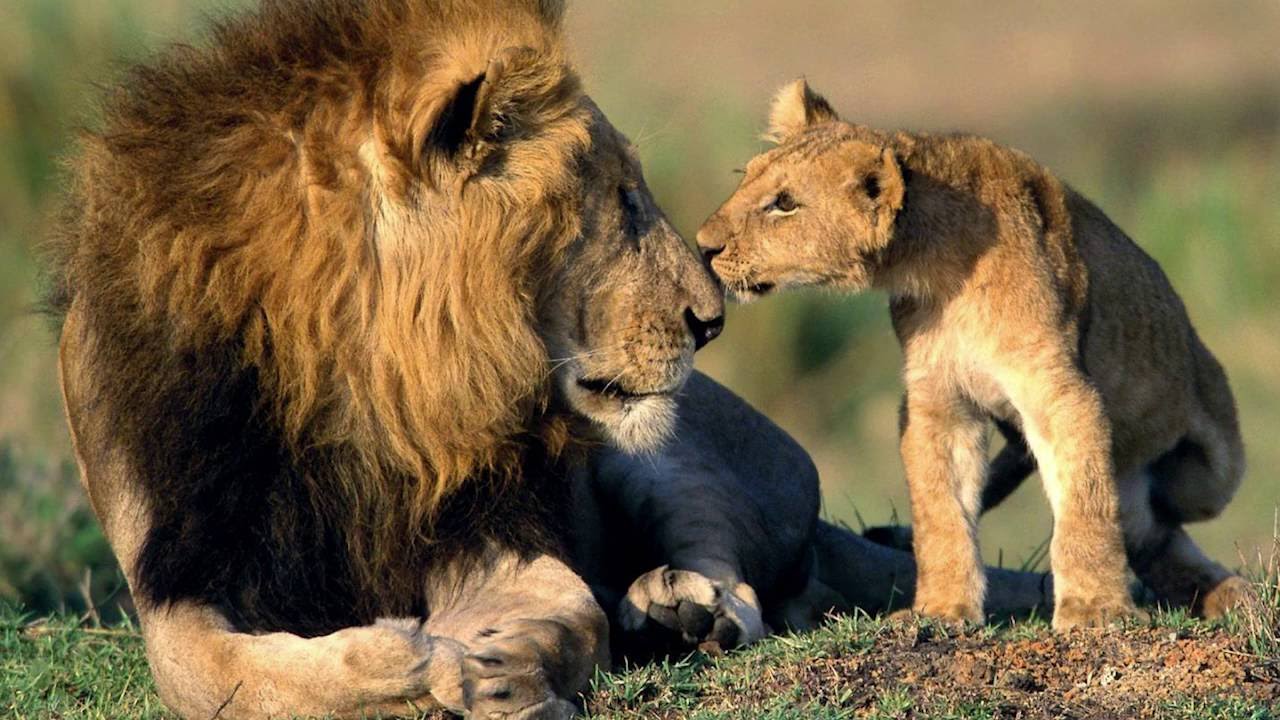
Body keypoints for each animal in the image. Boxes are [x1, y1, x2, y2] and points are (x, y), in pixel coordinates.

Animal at [696, 79, 1251, 631]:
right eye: (746, 180)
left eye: (784, 204)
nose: (703, 246)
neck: (937, 268)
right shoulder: (938, 401)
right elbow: (942, 513)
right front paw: (942, 609)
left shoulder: (1060, 391)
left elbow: (1085, 504)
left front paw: (1094, 608)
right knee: (1148, 533)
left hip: (1211, 473)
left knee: (1159, 518)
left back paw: (1230, 592)